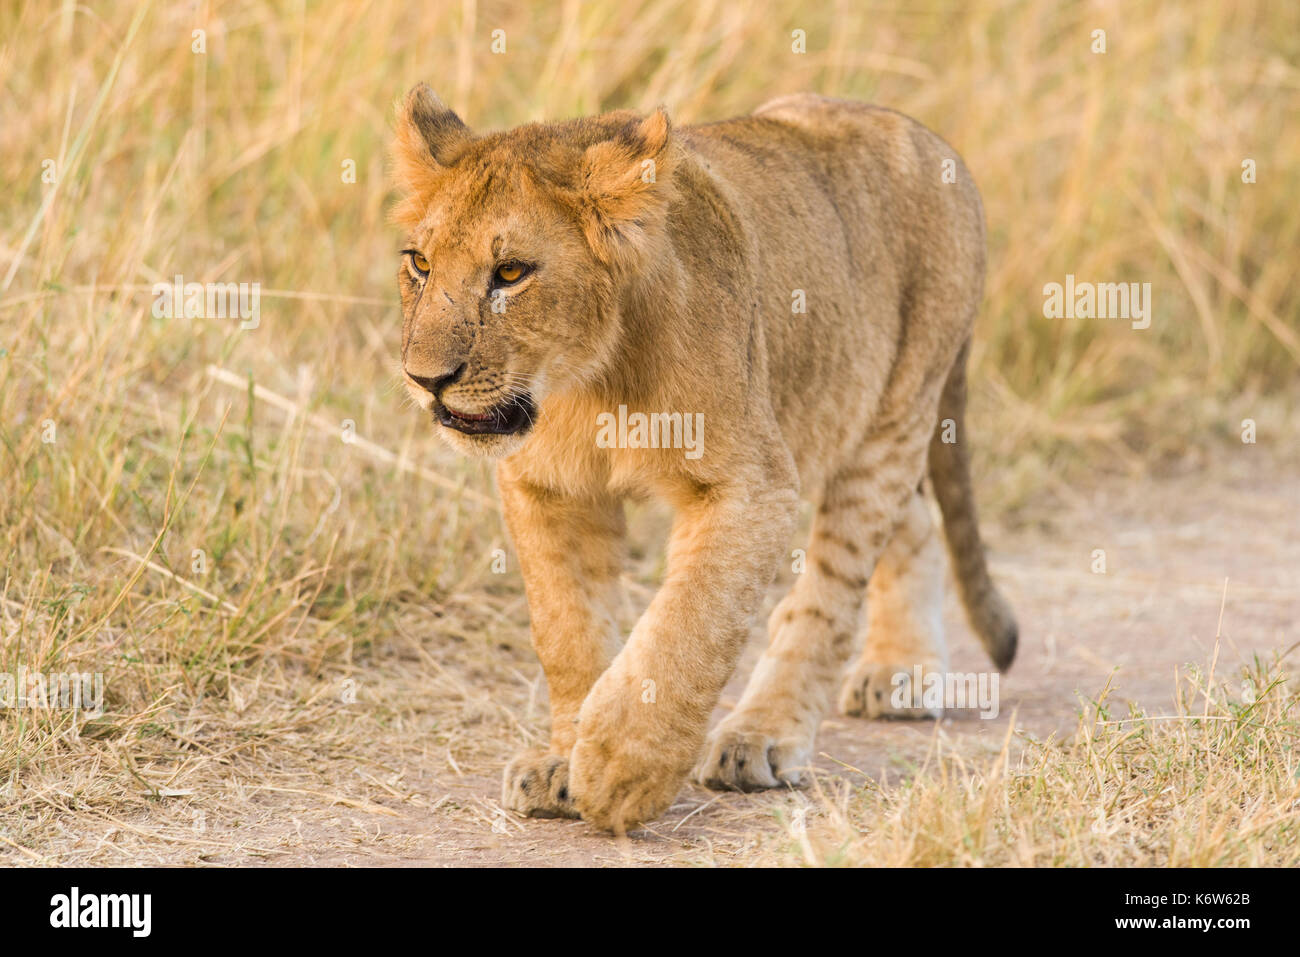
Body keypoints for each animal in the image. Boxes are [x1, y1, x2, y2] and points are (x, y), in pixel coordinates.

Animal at [390, 85, 1017, 833]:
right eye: (420, 264)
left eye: (510, 272)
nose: (425, 378)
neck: (585, 381)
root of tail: (925, 135)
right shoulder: (546, 486)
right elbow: (568, 631)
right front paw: (563, 763)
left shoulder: (750, 483)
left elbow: (690, 624)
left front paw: (623, 766)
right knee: (915, 520)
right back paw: (901, 671)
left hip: (893, 413)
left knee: (831, 591)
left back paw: (764, 736)